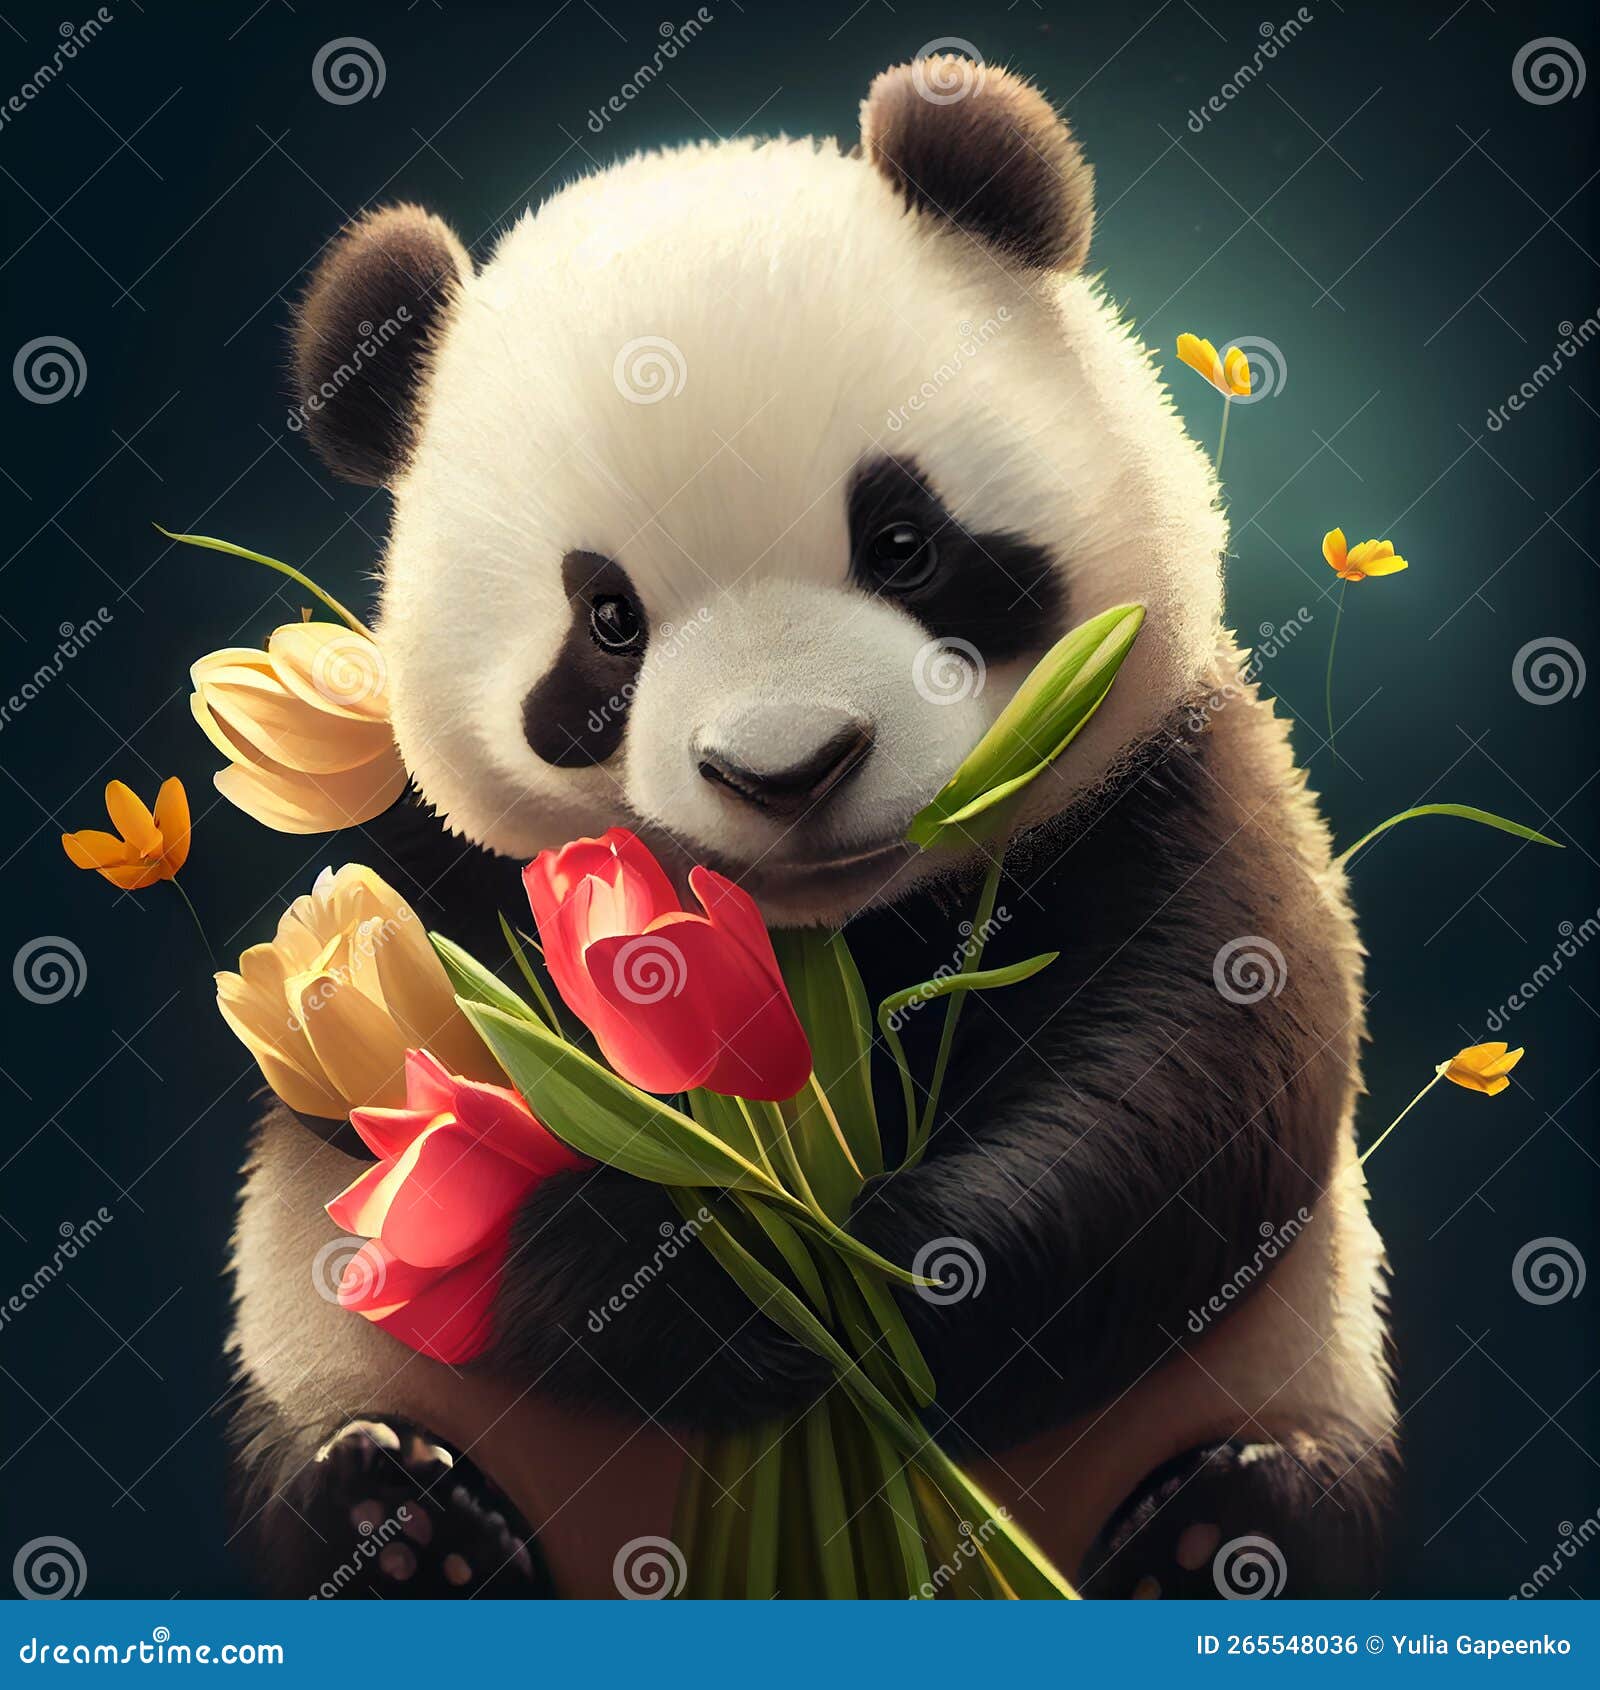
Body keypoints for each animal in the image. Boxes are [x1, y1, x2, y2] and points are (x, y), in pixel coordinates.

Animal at [228, 59, 1395, 1600]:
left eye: (902, 540)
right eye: (608, 620)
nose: (789, 768)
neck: (835, 934)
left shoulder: (1171, 768)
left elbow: (1214, 1047)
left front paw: (907, 1269)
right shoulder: (425, 871)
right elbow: (397, 1137)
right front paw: (735, 1286)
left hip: (1300, 1363)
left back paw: (1214, 1530)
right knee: (320, 1467)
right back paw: (413, 1527)